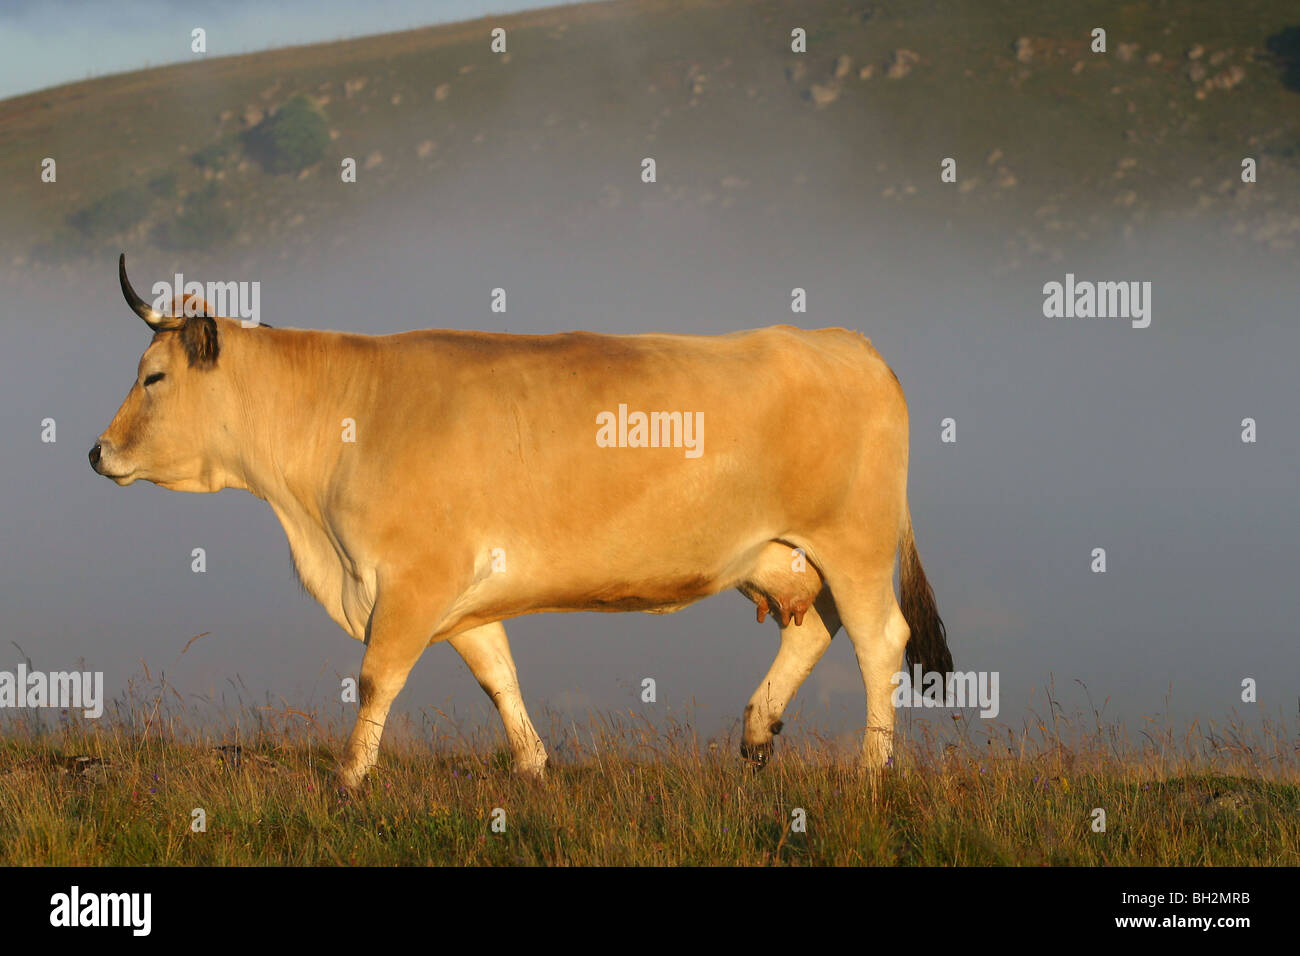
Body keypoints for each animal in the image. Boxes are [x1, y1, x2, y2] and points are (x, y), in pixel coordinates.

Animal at [91, 254, 951, 787]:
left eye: (153, 376)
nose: (98, 452)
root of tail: (842, 341)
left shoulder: (414, 581)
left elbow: (376, 680)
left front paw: (347, 778)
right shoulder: (463, 596)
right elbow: (497, 676)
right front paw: (535, 765)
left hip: (855, 544)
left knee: (881, 642)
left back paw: (871, 772)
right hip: (789, 552)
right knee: (816, 632)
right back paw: (756, 731)